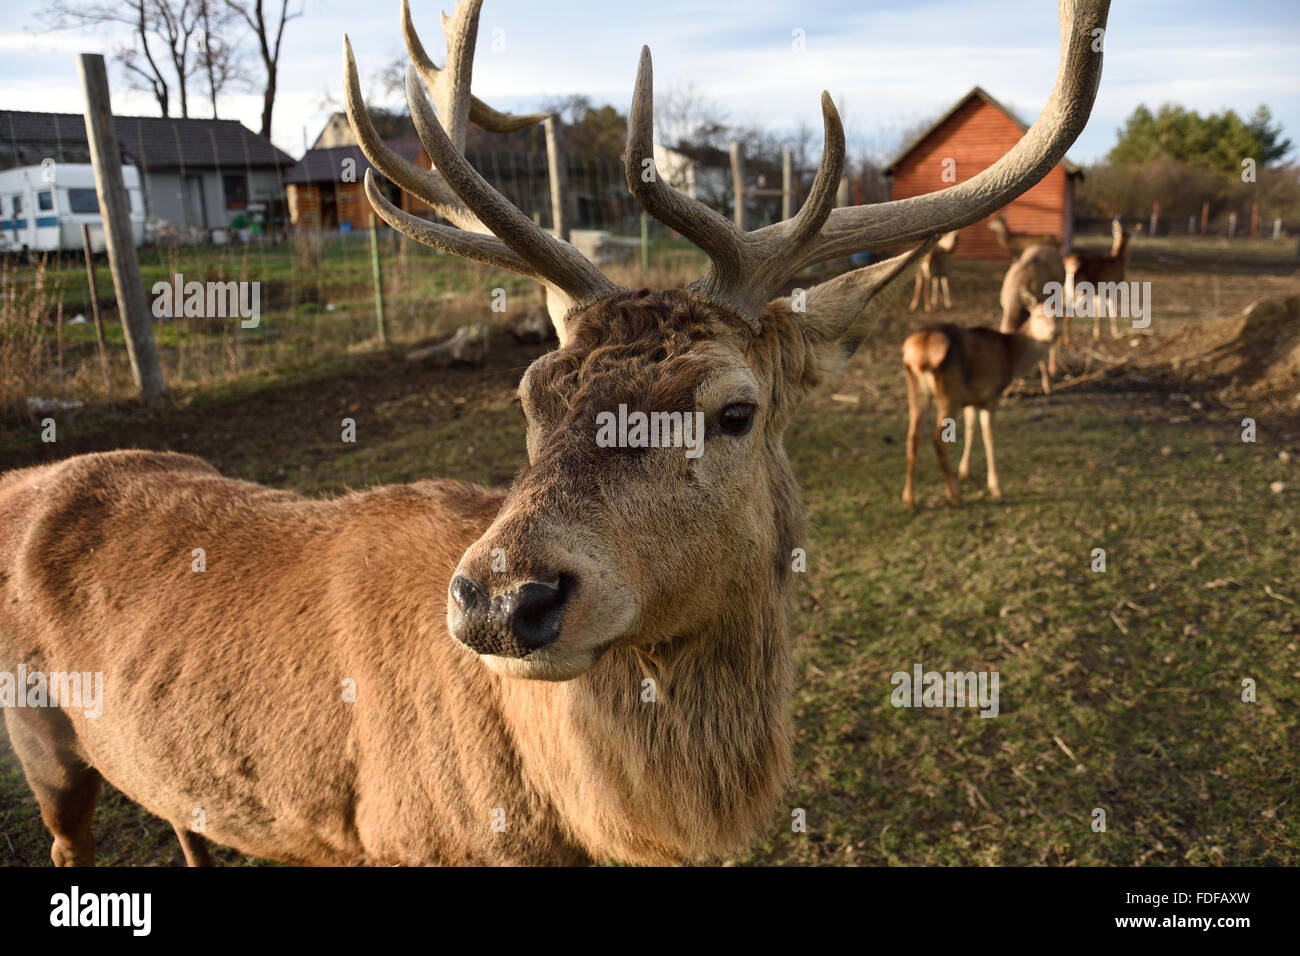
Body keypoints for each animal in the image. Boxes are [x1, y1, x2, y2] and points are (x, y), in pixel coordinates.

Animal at [902, 299, 1061, 510]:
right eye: (1038, 315)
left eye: (1061, 314)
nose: (1054, 332)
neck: (1011, 357)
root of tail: (917, 352)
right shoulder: (990, 394)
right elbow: (988, 435)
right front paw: (996, 487)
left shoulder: (971, 399)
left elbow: (970, 429)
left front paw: (964, 471)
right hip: (949, 395)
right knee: (937, 439)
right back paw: (954, 495)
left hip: (916, 390)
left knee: (913, 437)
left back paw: (909, 499)